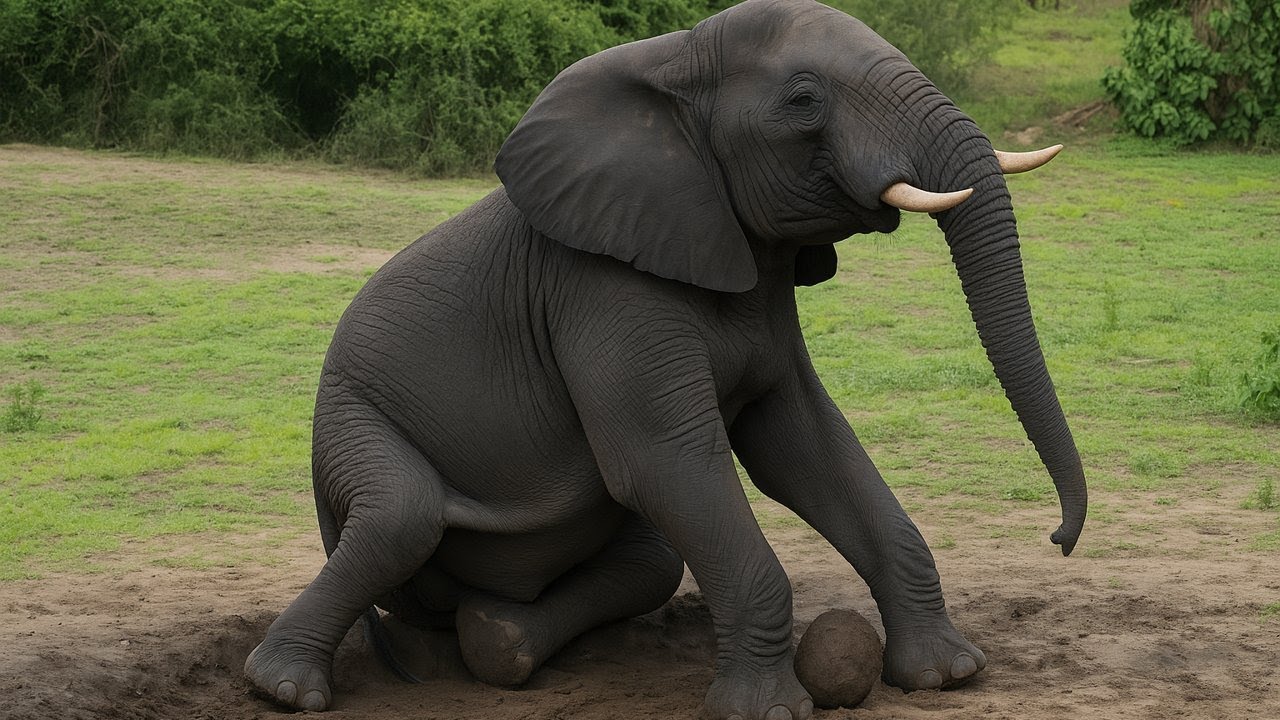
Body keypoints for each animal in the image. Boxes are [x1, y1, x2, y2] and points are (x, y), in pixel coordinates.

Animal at [244, 1, 1088, 718]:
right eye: (804, 100)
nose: (1059, 539)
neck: (674, 61)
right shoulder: (602, 290)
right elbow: (666, 461)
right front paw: (766, 711)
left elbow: (804, 447)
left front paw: (947, 675)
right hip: (350, 421)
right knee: (400, 517)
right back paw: (283, 688)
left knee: (650, 560)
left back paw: (500, 639)